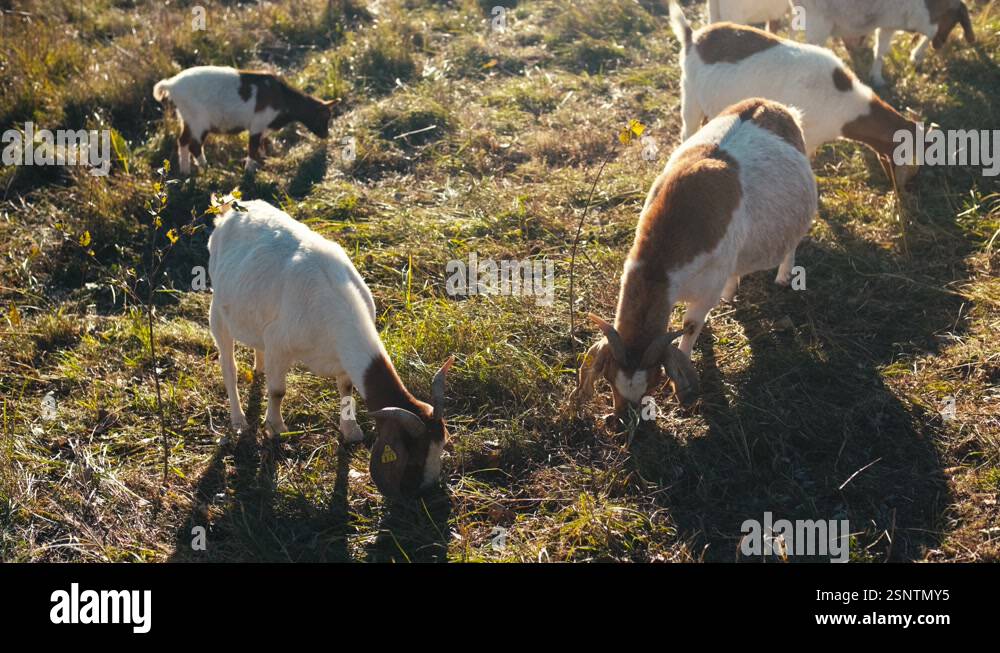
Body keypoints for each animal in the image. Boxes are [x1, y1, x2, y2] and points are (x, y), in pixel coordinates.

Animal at [153, 66, 336, 175]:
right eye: (324, 117)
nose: (326, 135)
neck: (283, 98)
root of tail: (171, 84)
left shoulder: (264, 127)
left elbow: (261, 142)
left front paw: (263, 159)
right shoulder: (257, 124)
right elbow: (253, 147)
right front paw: (249, 170)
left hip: (187, 117)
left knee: (182, 141)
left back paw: (185, 171)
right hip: (199, 119)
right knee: (194, 145)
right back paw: (206, 168)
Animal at [207, 199, 453, 499]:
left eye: (443, 445)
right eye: (415, 459)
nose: (429, 490)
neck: (334, 301)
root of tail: (232, 207)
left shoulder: (342, 358)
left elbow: (346, 389)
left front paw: (350, 430)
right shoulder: (279, 343)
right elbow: (277, 391)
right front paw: (275, 428)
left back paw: (259, 369)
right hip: (218, 310)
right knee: (228, 366)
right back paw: (239, 420)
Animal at [572, 97, 818, 420]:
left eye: (654, 381)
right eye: (609, 378)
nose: (627, 419)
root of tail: (773, 105)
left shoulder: (705, 292)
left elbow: (690, 326)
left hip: (795, 222)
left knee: (791, 245)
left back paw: (783, 275)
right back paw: (731, 292)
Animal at [671, 2, 921, 187]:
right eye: (904, 155)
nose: (904, 187)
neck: (845, 102)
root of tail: (692, 38)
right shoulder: (806, 137)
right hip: (690, 94)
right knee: (687, 129)